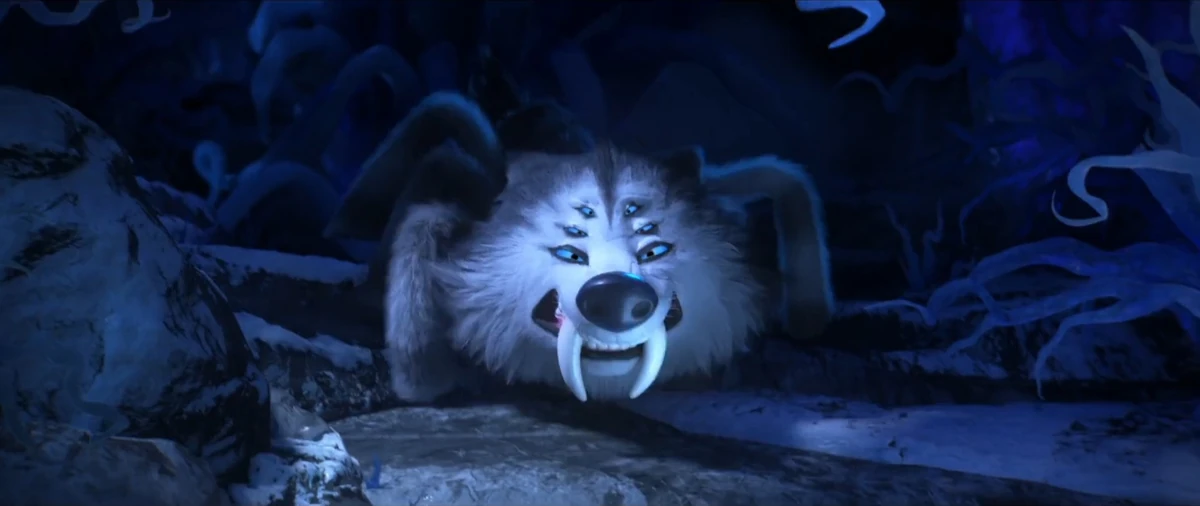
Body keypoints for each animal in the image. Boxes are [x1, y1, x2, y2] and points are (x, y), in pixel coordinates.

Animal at [327, 92, 834, 402]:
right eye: (570, 251)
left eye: (655, 249)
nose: (616, 294)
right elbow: (427, 205)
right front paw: (421, 379)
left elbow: (780, 177)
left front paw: (807, 315)